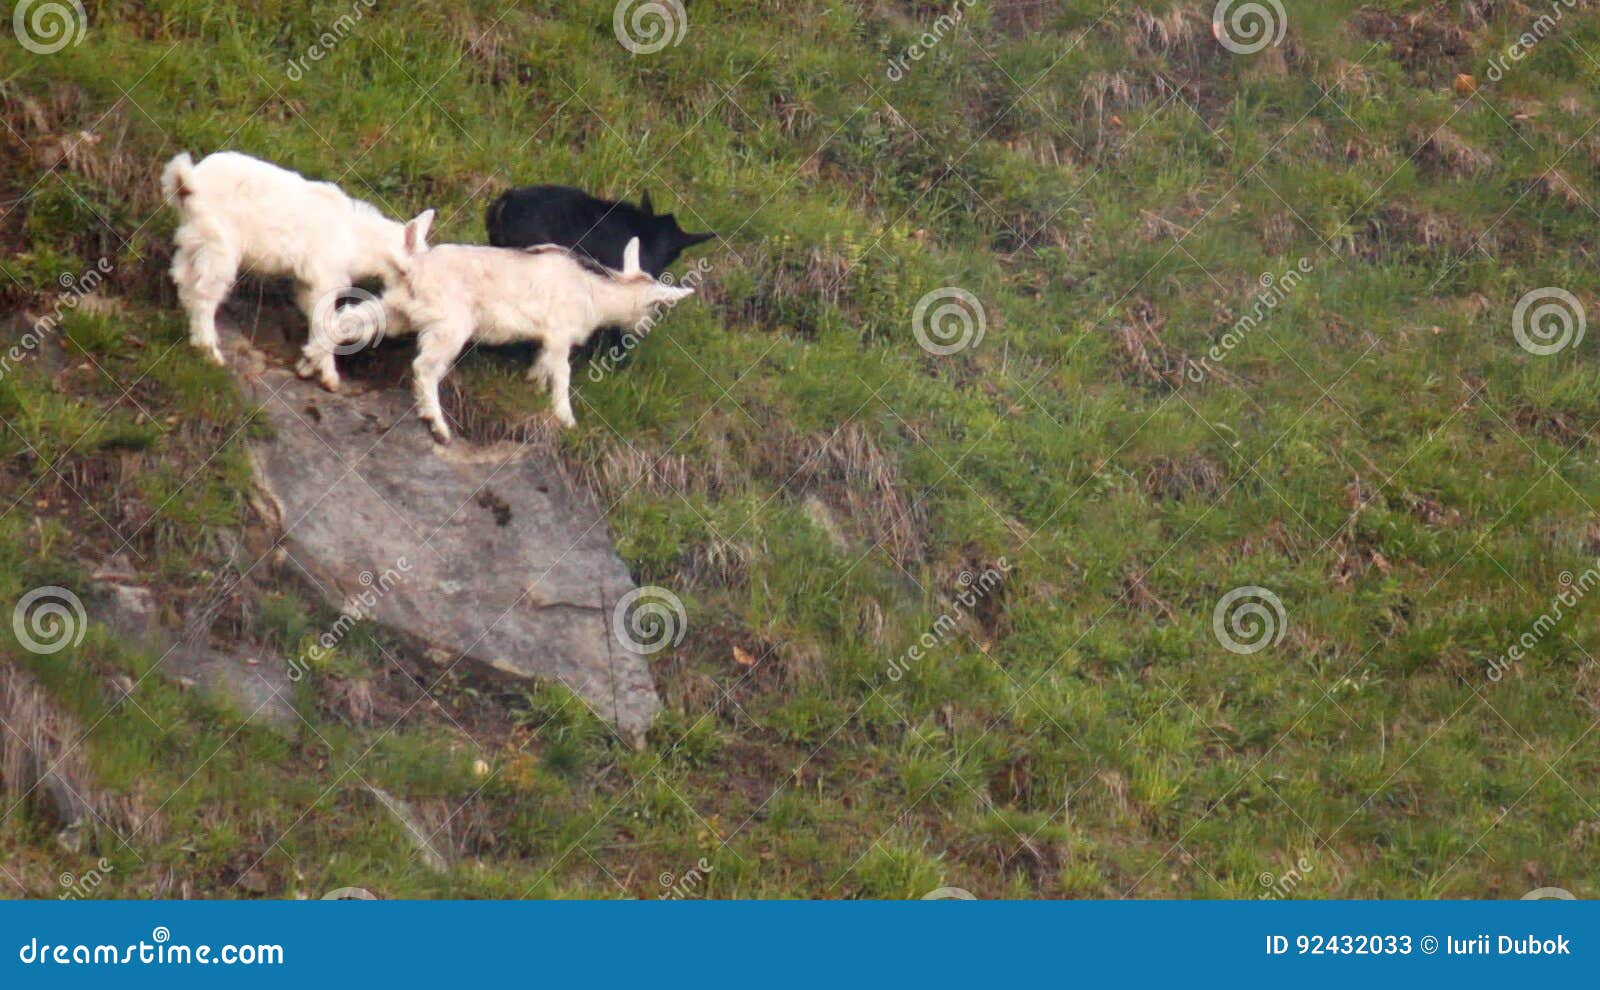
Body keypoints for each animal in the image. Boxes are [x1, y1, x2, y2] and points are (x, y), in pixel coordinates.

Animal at [161, 151, 423, 367]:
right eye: (408, 275)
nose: (403, 318)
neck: (358, 238)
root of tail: (188, 182)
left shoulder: (307, 283)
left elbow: (317, 319)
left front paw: (315, 367)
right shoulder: (326, 278)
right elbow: (324, 320)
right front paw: (325, 372)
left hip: (195, 240)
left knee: (185, 282)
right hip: (220, 248)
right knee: (205, 295)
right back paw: (210, 352)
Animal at [300, 223, 693, 442]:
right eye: (656, 306)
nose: (642, 329)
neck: (593, 292)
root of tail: (414, 267)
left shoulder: (547, 338)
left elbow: (542, 364)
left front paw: (534, 385)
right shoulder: (559, 332)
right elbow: (562, 371)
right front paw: (565, 417)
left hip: (398, 308)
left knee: (349, 320)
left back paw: (313, 365)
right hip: (450, 323)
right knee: (425, 367)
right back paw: (437, 425)